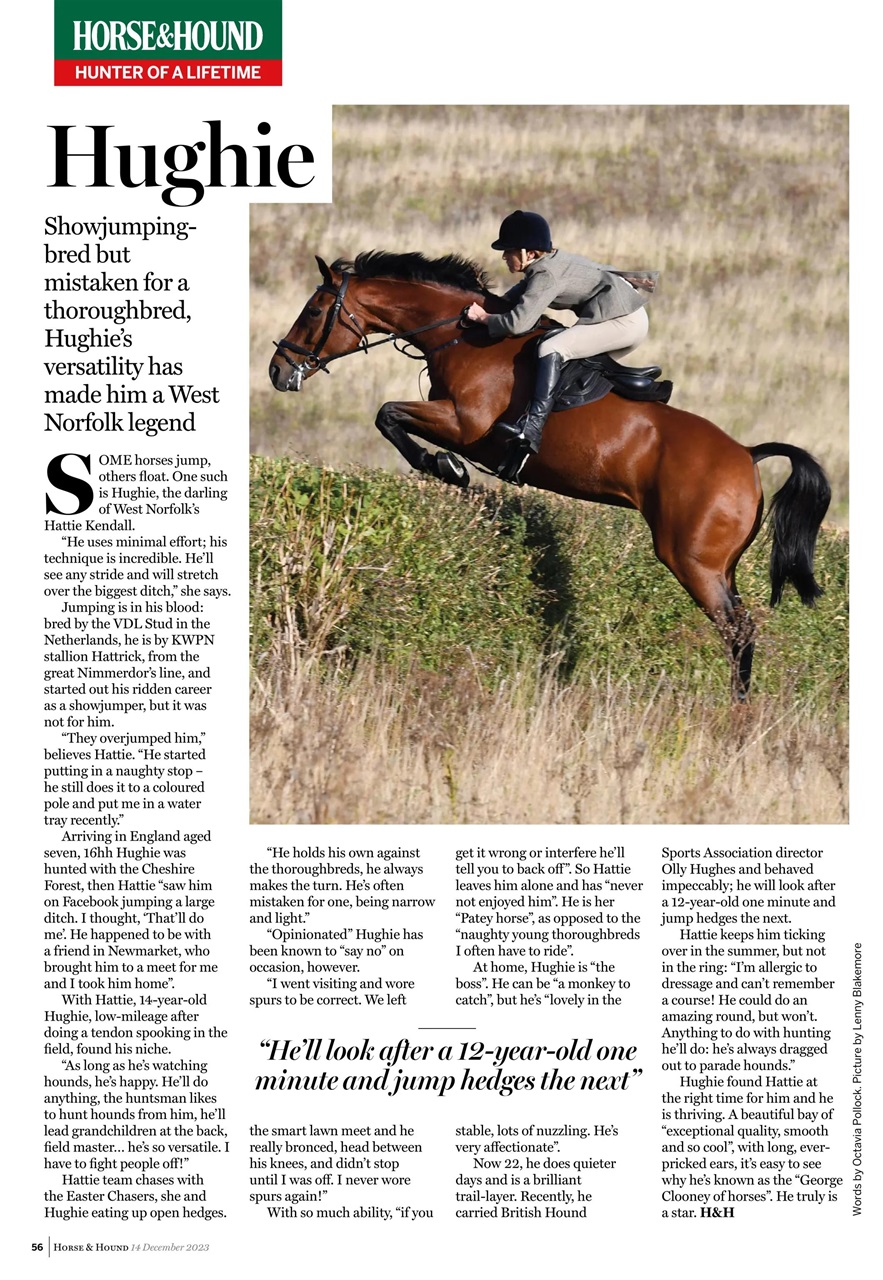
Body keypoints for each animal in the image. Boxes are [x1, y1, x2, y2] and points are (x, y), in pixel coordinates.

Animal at [268, 251, 831, 701]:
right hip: (721, 565)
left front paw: (444, 468)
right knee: (741, 628)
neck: (465, 338)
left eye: (313, 311)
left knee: (738, 630)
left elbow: (387, 414)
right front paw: (443, 468)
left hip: (693, 561)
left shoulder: (465, 424)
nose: (278, 370)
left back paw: (735, 714)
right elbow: (389, 416)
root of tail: (747, 455)